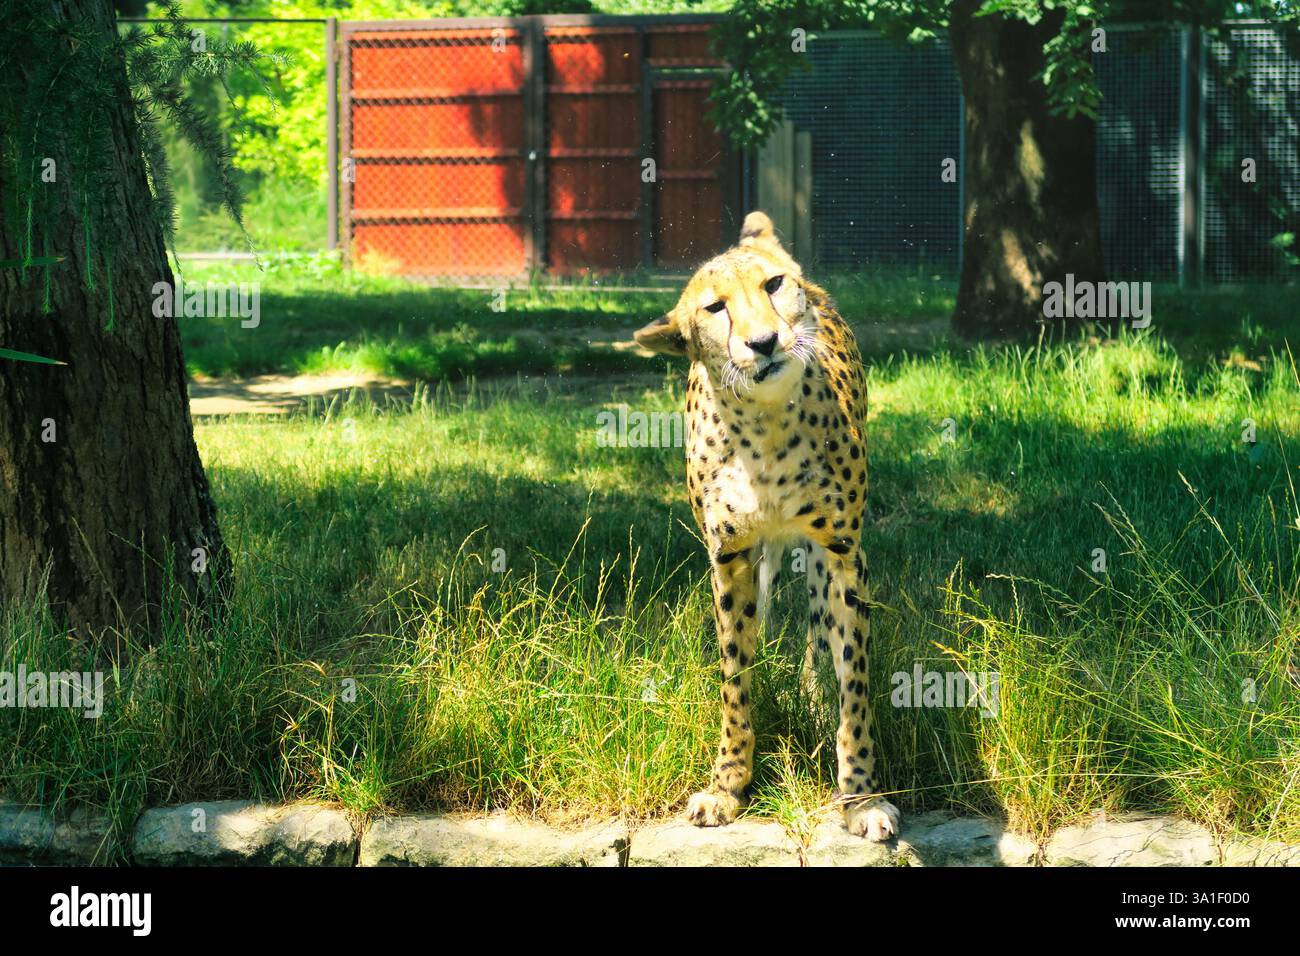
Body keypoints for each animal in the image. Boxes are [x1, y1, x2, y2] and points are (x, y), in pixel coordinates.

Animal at [633, 211, 900, 841]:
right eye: (715, 308)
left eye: (773, 284)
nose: (763, 342)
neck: (767, 427)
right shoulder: (730, 558)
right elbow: (735, 676)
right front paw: (728, 787)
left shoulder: (842, 549)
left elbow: (854, 679)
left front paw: (860, 796)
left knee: (818, 629)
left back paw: (815, 699)